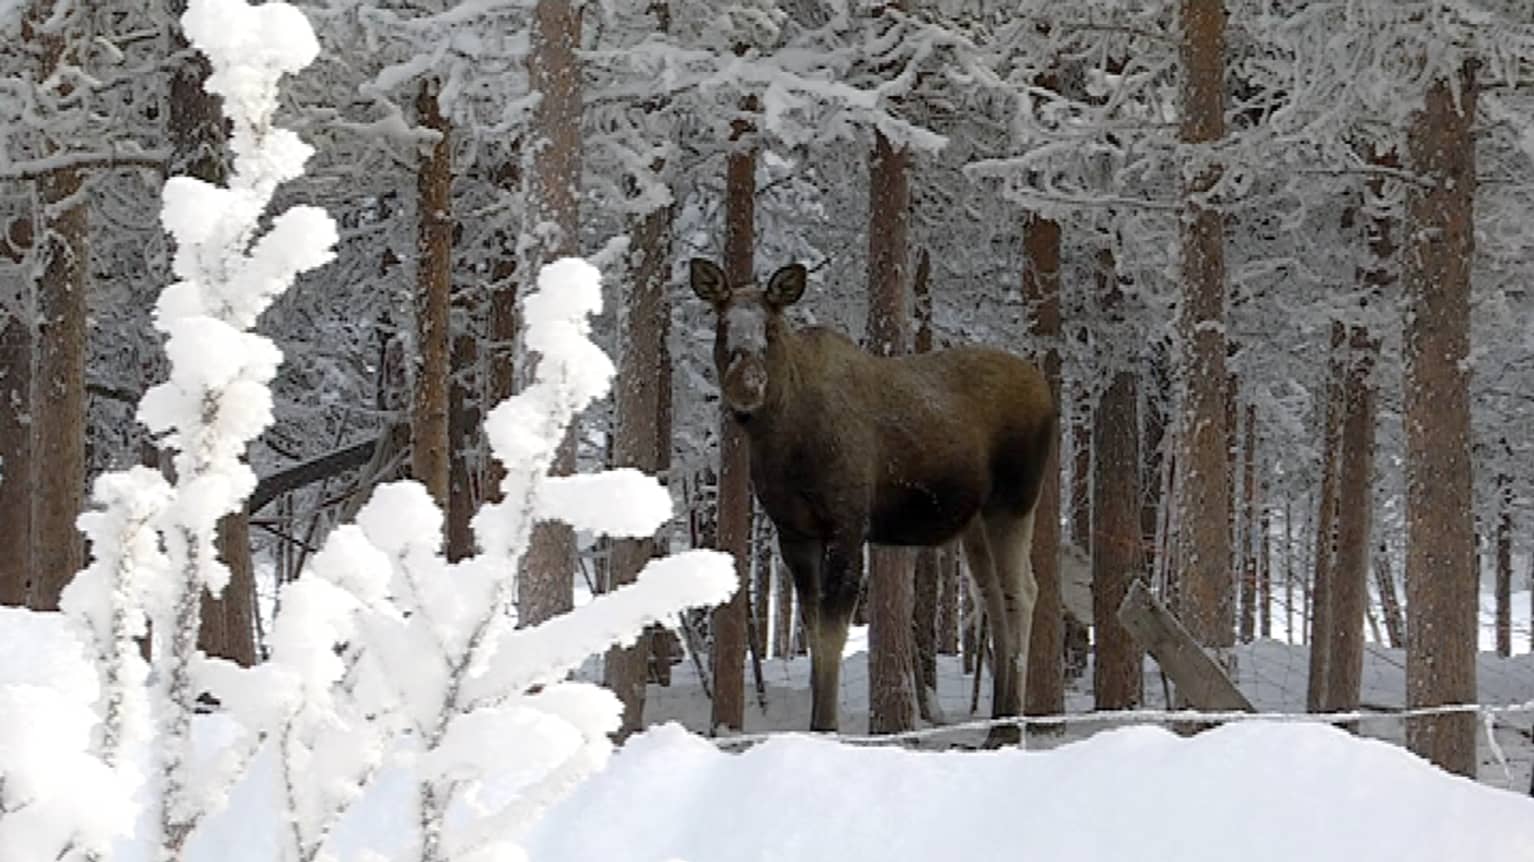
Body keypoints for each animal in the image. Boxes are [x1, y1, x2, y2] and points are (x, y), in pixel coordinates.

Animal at [689, 257, 1057, 743]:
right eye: (722, 325)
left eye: (770, 329)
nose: (746, 387)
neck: (782, 442)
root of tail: (1047, 393)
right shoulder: (794, 531)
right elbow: (812, 626)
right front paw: (816, 725)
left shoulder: (847, 524)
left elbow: (832, 631)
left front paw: (826, 727)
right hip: (975, 521)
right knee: (992, 600)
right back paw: (997, 725)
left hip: (1013, 503)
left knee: (1023, 594)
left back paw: (1010, 729)